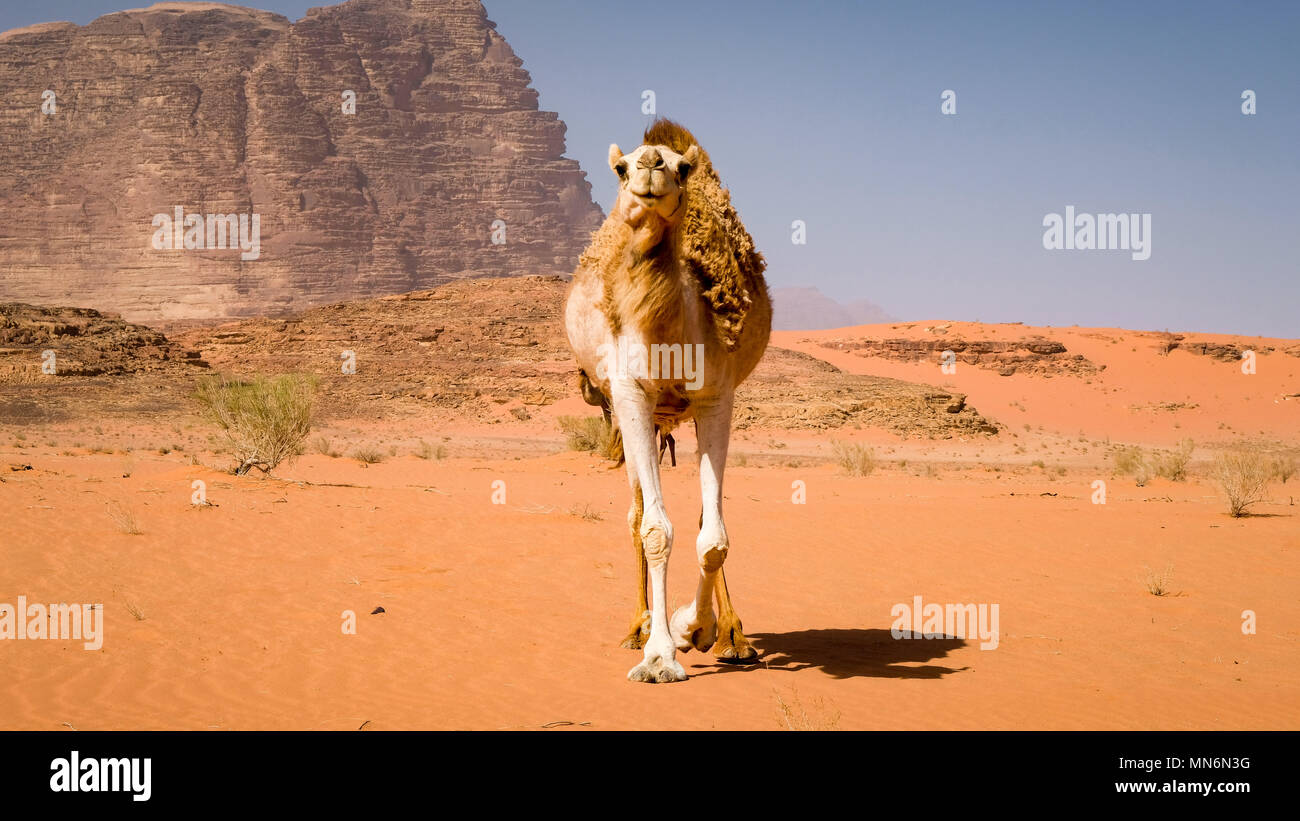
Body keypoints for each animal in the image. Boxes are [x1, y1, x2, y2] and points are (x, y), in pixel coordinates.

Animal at [564, 119, 771, 683]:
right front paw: (658, 655)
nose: (652, 166)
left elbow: (713, 536)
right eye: (620, 167)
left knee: (703, 517)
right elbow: (655, 528)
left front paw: (696, 629)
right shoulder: (630, 394)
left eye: (682, 167)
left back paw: (731, 636)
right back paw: (638, 627)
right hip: (629, 411)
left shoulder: (716, 396)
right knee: (636, 514)